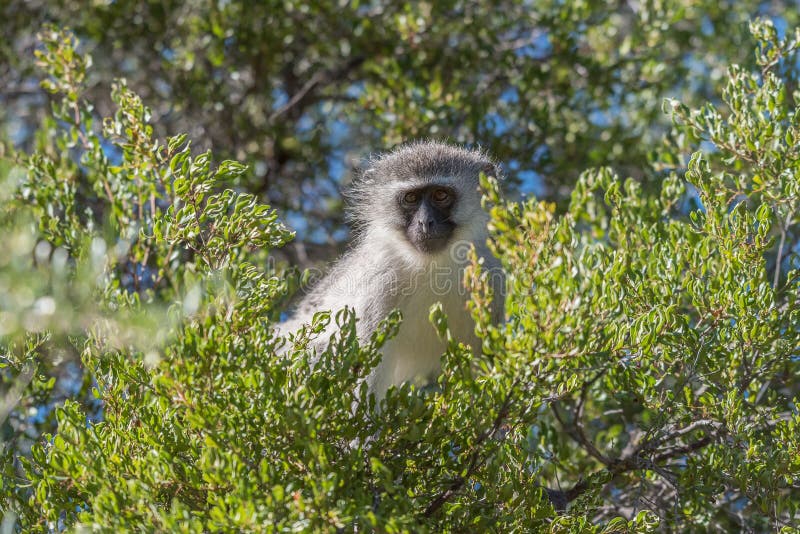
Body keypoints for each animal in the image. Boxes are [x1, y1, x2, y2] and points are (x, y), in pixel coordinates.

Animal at [280, 141, 504, 398]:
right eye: (411, 198)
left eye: (440, 195)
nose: (425, 222)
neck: (432, 265)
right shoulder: (379, 282)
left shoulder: (491, 276)